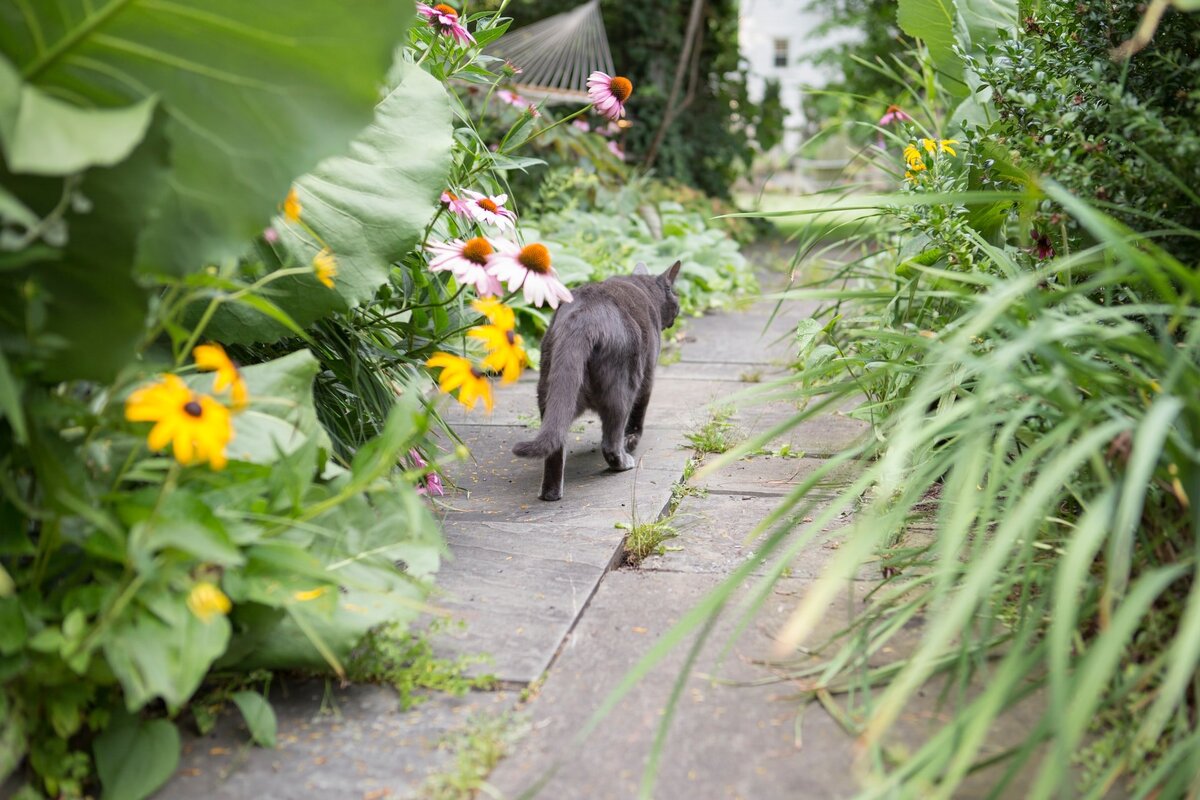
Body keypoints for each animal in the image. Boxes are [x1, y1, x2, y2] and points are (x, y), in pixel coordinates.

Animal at [511, 261, 681, 501]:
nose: (677, 311)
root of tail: (583, 319)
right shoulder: (648, 378)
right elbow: (638, 417)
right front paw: (632, 441)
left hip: (550, 387)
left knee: (555, 443)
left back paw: (550, 494)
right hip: (623, 388)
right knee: (611, 440)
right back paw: (623, 462)